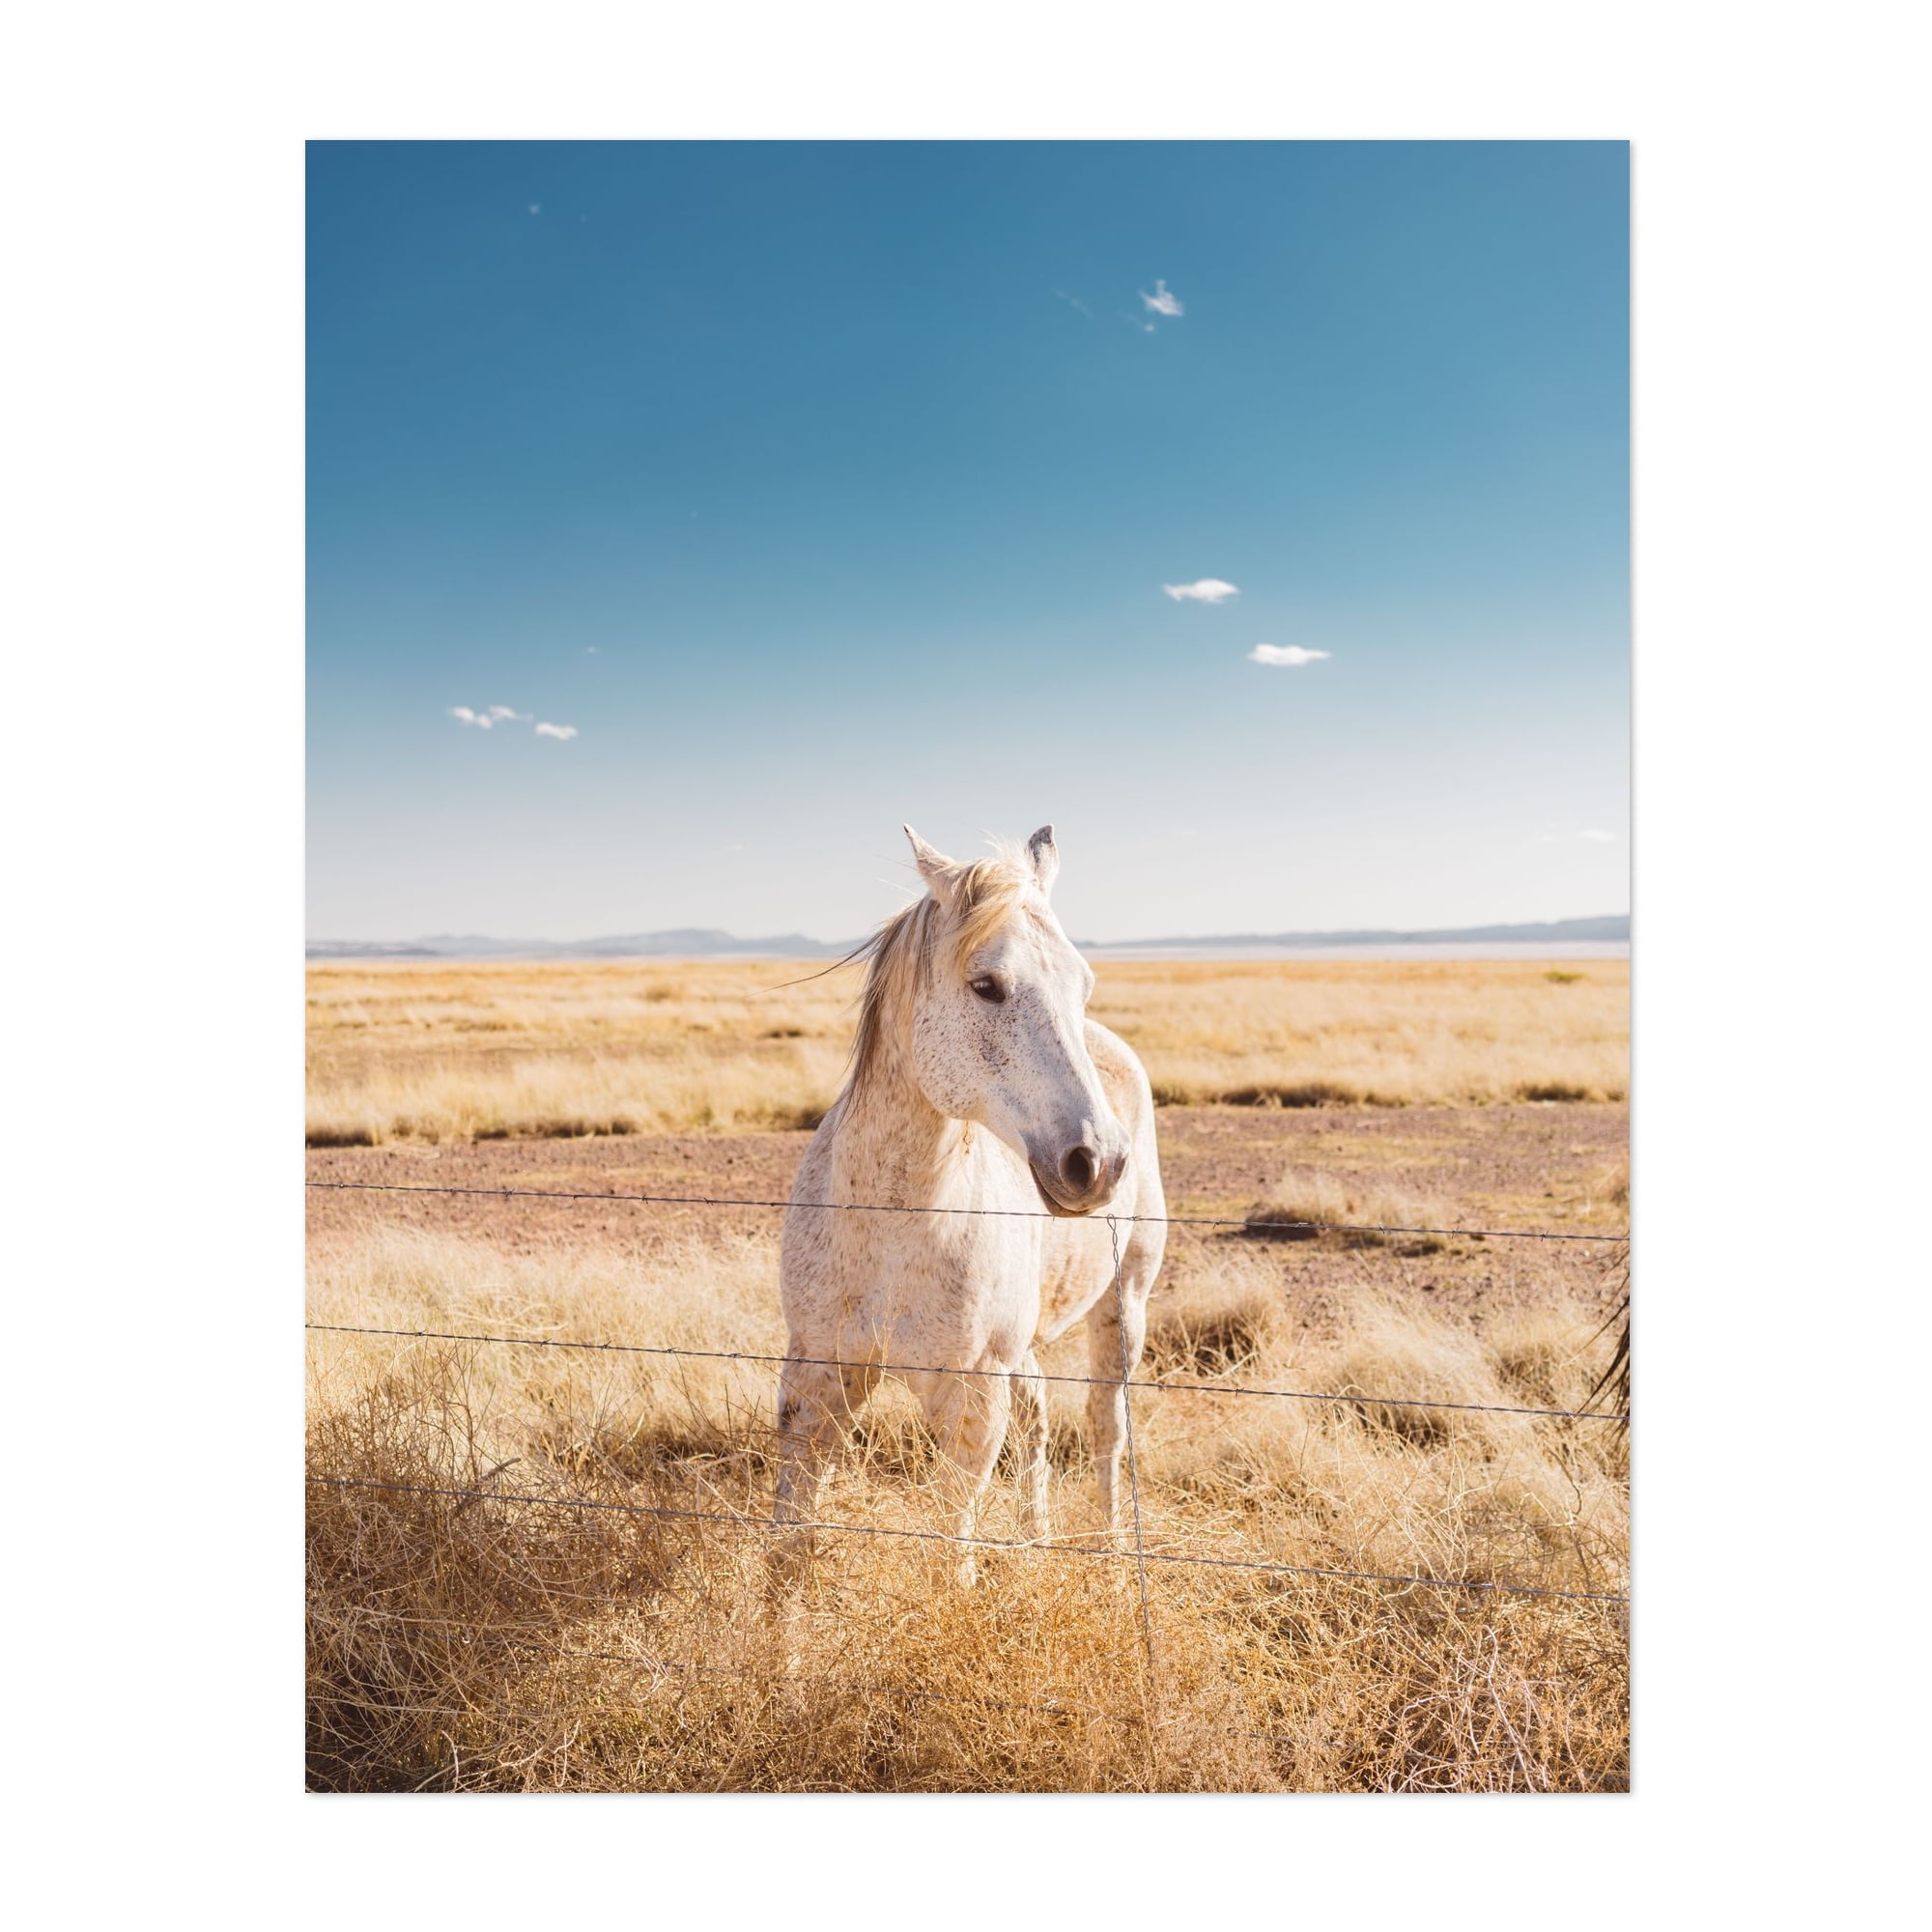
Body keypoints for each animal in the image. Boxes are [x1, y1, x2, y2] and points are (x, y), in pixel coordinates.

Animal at [772, 824, 1167, 1585]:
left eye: (1083, 984)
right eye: (986, 985)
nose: (1099, 1162)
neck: (892, 1226)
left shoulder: (971, 1398)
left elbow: (948, 1550)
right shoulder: (815, 1379)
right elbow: (793, 1539)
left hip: (1123, 1302)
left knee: (1105, 1427)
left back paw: (1108, 1552)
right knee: (1040, 1418)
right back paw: (1037, 1540)